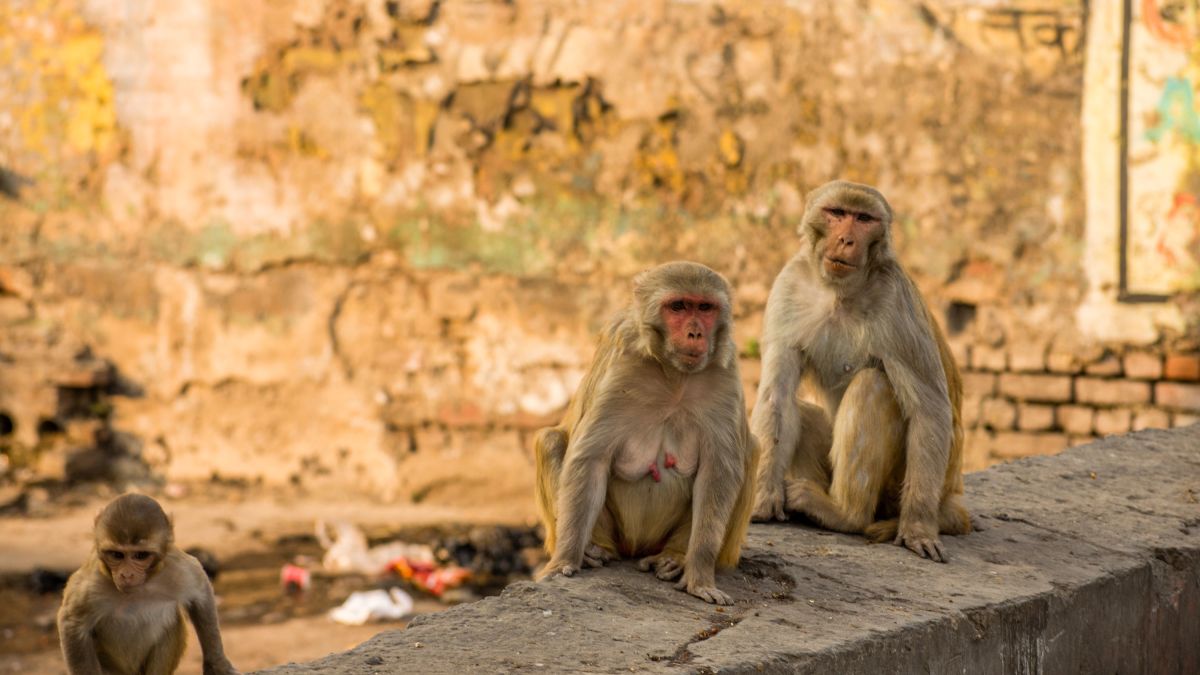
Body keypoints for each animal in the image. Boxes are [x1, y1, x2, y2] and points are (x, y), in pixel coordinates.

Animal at [57, 493, 240, 675]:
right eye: (117, 555)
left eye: (140, 555)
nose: (127, 574)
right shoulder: (92, 583)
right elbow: (72, 623)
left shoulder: (175, 568)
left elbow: (201, 591)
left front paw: (217, 664)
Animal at [533, 261, 758, 605]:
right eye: (678, 306)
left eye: (705, 307)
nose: (695, 333)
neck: (674, 376)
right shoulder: (622, 366)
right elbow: (591, 460)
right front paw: (565, 560)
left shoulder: (725, 372)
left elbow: (718, 472)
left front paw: (699, 576)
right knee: (551, 441)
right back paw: (593, 549)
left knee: (750, 452)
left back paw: (675, 556)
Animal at [749, 180, 970, 563]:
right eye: (837, 213)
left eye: (864, 219)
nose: (846, 240)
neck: (839, 292)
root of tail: (951, 494)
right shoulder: (788, 286)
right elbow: (776, 396)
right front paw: (763, 497)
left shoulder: (895, 299)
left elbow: (928, 411)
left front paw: (917, 528)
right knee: (800, 409)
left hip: (898, 488)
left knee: (873, 384)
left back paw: (845, 514)